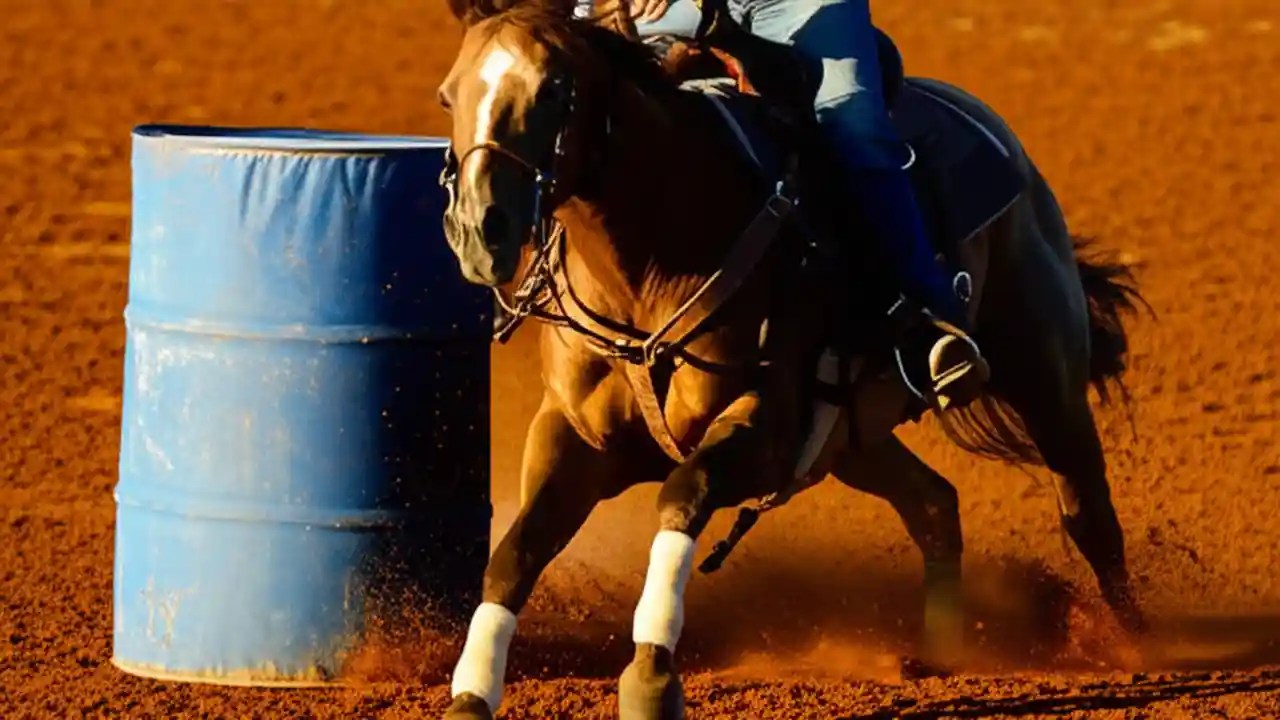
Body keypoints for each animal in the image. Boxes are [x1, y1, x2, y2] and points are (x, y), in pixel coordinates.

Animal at [433, 1, 1149, 718]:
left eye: (554, 88)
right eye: (448, 95)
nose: (479, 230)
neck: (650, 267)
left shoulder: (765, 429)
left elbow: (680, 495)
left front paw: (652, 677)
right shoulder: (573, 437)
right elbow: (515, 553)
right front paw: (471, 695)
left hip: (1044, 374)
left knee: (1088, 513)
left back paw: (1133, 647)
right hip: (850, 440)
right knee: (934, 505)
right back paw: (943, 653)